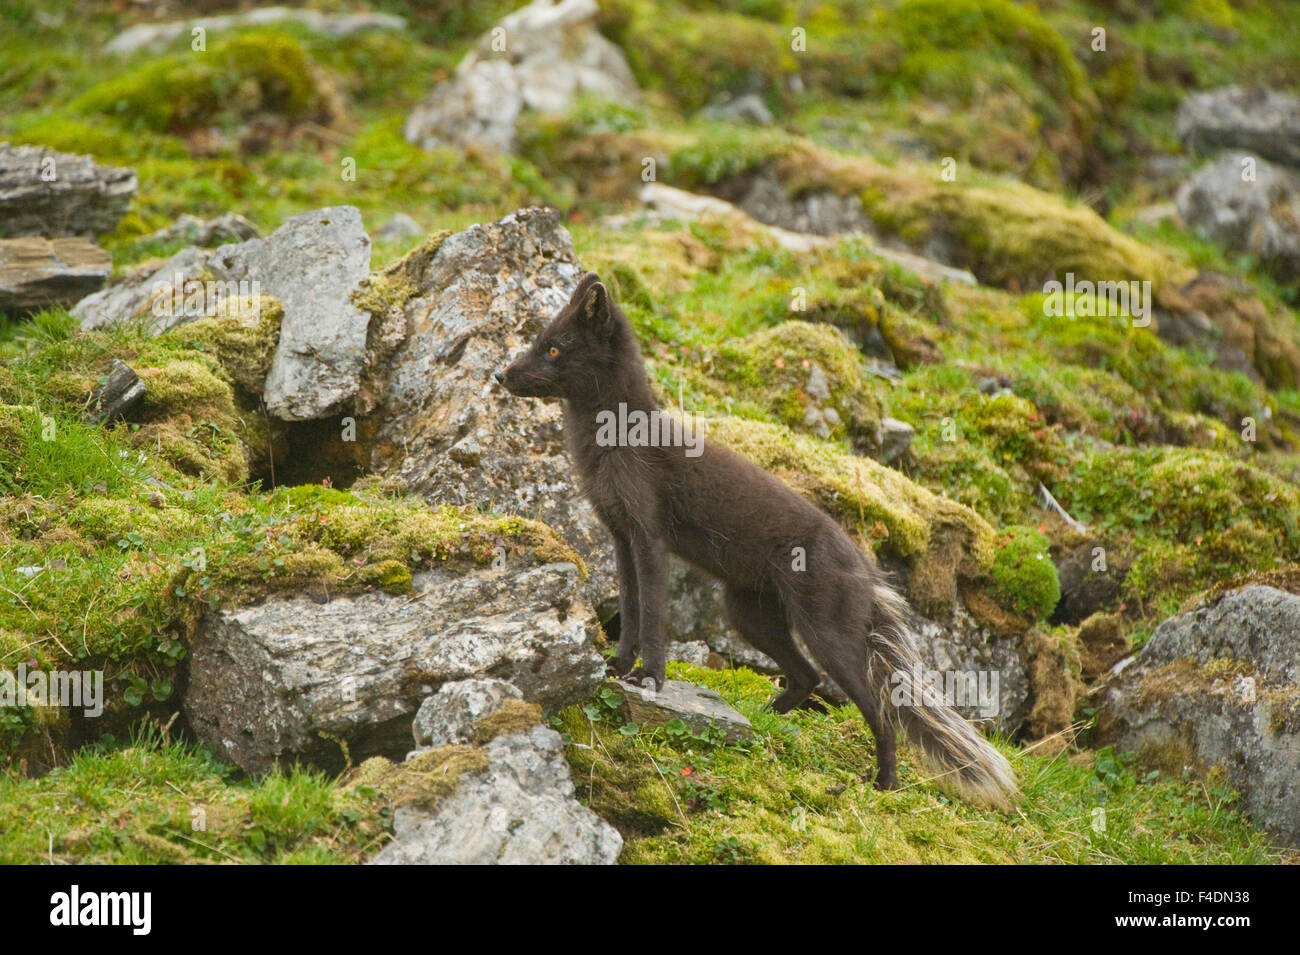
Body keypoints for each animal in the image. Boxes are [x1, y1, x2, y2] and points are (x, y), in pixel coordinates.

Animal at [496, 273, 1017, 807]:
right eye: (538, 342)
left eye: (555, 349)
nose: (500, 376)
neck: (613, 441)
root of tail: (868, 570)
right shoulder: (620, 538)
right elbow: (631, 611)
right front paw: (618, 666)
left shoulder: (650, 539)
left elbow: (654, 617)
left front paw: (650, 677)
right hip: (749, 616)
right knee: (807, 677)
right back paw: (767, 721)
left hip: (822, 634)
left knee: (875, 707)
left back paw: (883, 784)